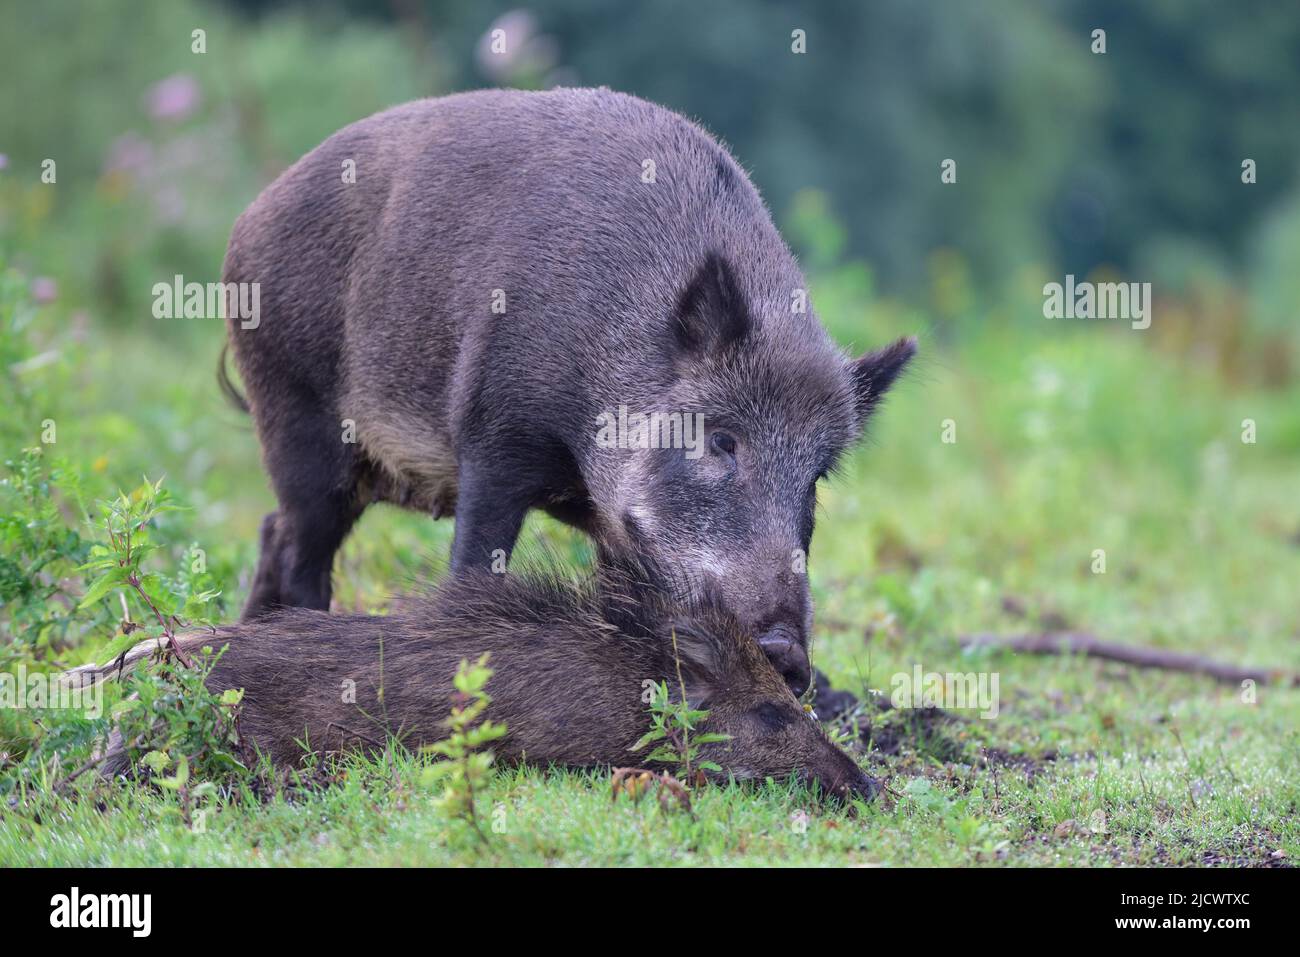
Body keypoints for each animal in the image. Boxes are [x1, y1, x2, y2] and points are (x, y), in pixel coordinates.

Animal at [221, 86, 916, 694]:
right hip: (294, 407)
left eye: (818, 476)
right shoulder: (494, 436)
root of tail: (248, 221)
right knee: (301, 545)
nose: (788, 657)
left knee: (273, 529)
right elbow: (474, 568)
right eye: (723, 440)